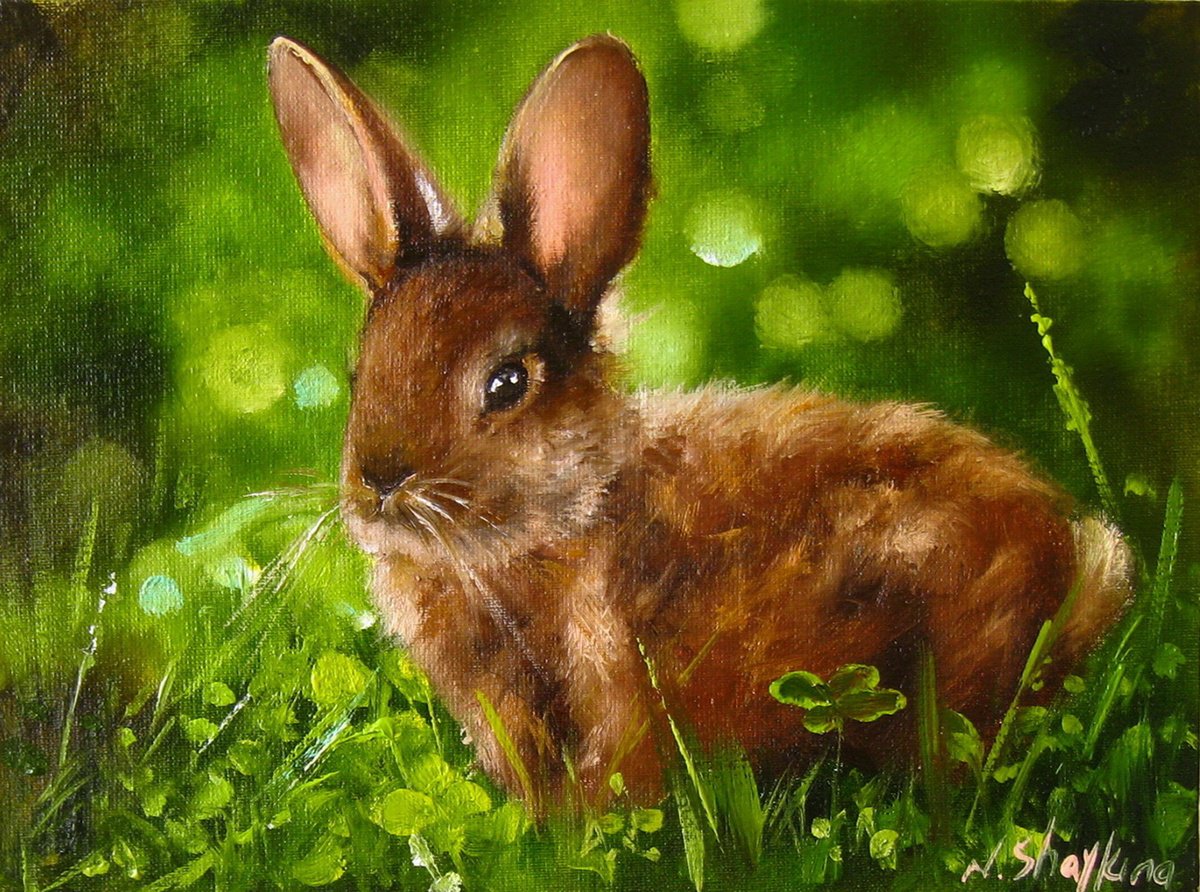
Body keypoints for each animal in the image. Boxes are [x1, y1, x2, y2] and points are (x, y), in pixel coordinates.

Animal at [267, 34, 1132, 808]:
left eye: (507, 383)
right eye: (360, 373)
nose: (380, 482)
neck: (567, 519)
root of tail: (1072, 558)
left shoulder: (617, 672)